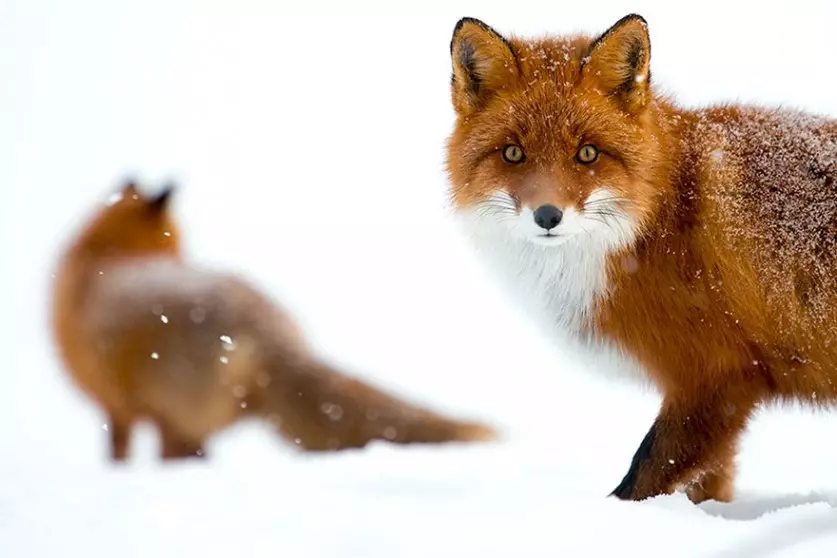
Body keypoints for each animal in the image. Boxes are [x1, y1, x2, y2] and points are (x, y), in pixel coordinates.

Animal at [448, 13, 836, 506]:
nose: (548, 215)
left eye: (587, 153)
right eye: (513, 153)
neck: (659, 214)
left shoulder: (714, 379)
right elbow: (709, 484)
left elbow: (643, 475)